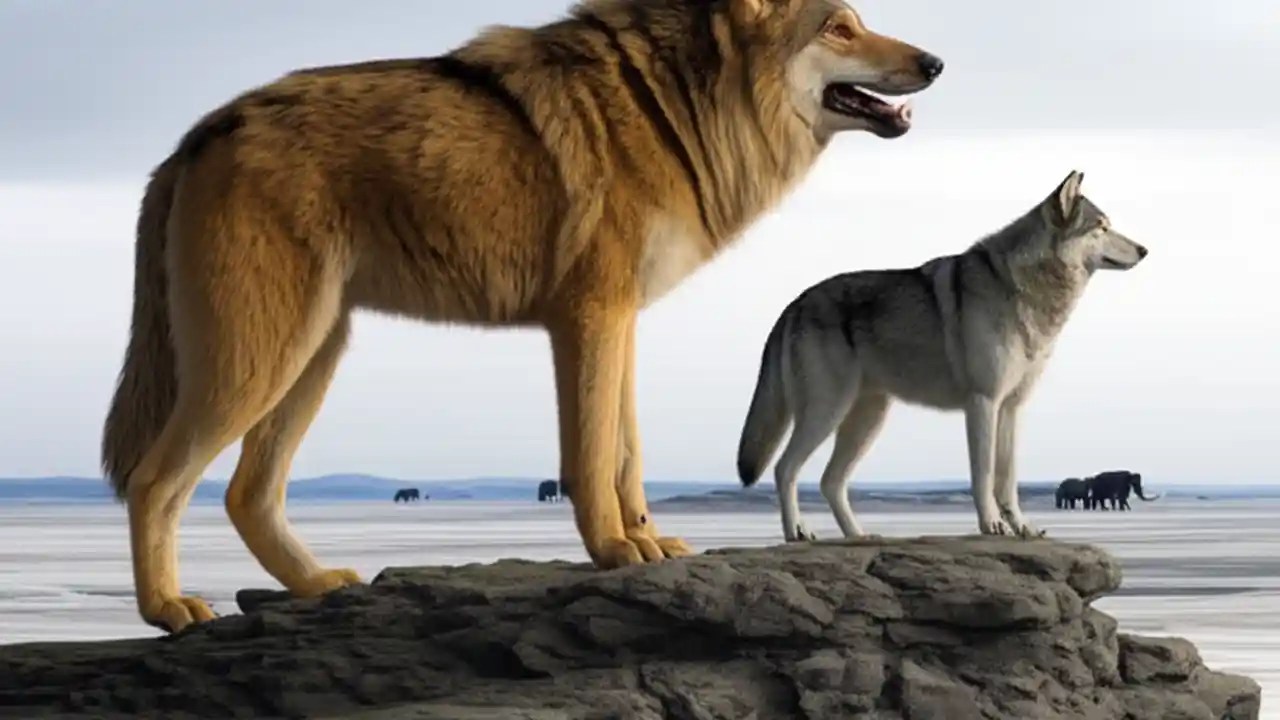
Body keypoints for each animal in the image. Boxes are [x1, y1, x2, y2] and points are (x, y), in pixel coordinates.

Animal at [100, 0, 943, 632]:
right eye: (841, 26)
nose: (935, 62)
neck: (672, 105)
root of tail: (195, 135)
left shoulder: (621, 323)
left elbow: (627, 453)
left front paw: (645, 541)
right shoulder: (590, 318)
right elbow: (592, 459)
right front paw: (612, 550)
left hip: (310, 358)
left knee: (247, 494)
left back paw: (315, 585)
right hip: (259, 362)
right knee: (155, 480)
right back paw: (167, 608)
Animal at [736, 171, 1148, 541]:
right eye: (1102, 228)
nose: (1145, 250)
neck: (1022, 288)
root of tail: (794, 304)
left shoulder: (1011, 408)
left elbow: (1008, 479)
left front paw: (1022, 527)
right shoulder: (982, 402)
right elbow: (983, 475)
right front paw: (992, 526)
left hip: (867, 420)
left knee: (829, 482)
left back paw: (859, 536)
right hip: (826, 412)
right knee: (785, 469)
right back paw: (796, 532)